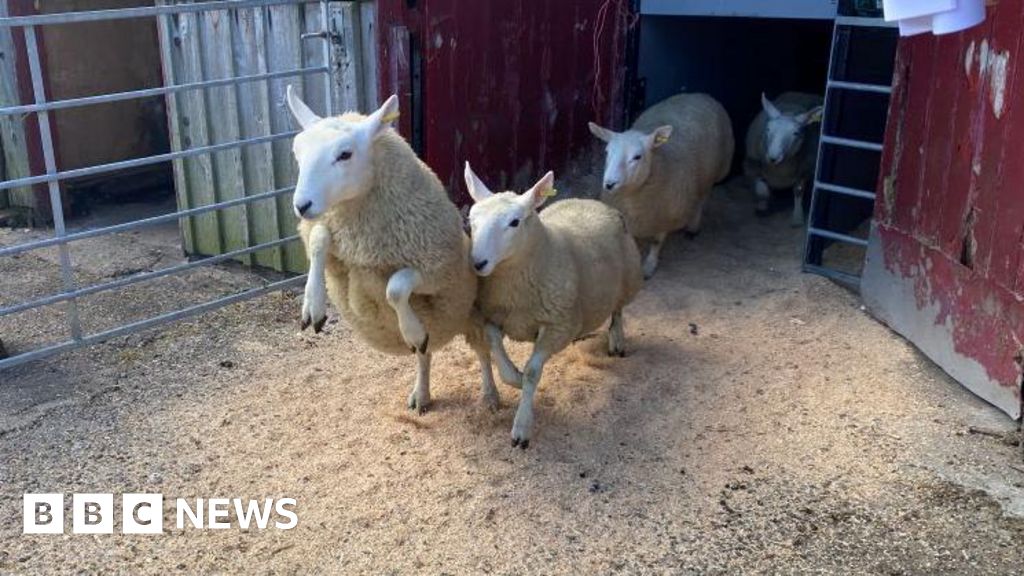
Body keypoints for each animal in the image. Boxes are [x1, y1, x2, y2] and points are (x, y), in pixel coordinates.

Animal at [286, 86, 498, 413]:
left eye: (345, 154)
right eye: (297, 153)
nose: (302, 205)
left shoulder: (437, 272)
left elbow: (396, 287)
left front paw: (410, 329)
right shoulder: (338, 248)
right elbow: (319, 240)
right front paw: (314, 304)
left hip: (471, 313)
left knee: (483, 353)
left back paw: (489, 395)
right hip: (438, 323)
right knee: (425, 355)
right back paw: (421, 394)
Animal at [463, 163, 644, 448]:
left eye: (514, 222)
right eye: (471, 221)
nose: (477, 263)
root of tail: (588, 200)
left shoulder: (558, 326)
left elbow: (532, 372)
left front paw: (522, 426)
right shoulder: (492, 315)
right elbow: (495, 348)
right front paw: (513, 377)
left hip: (629, 278)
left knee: (617, 310)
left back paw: (617, 339)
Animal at [589, 93, 733, 279]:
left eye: (637, 157)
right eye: (607, 152)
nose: (609, 184)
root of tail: (700, 94)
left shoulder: (666, 215)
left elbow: (657, 242)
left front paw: (648, 267)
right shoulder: (628, 217)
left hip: (715, 171)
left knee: (702, 198)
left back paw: (693, 227)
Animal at [744, 92, 824, 226]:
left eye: (796, 133)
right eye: (768, 129)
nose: (773, 157)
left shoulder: (804, 171)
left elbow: (798, 191)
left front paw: (797, 218)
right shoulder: (751, 166)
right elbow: (762, 191)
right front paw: (762, 208)